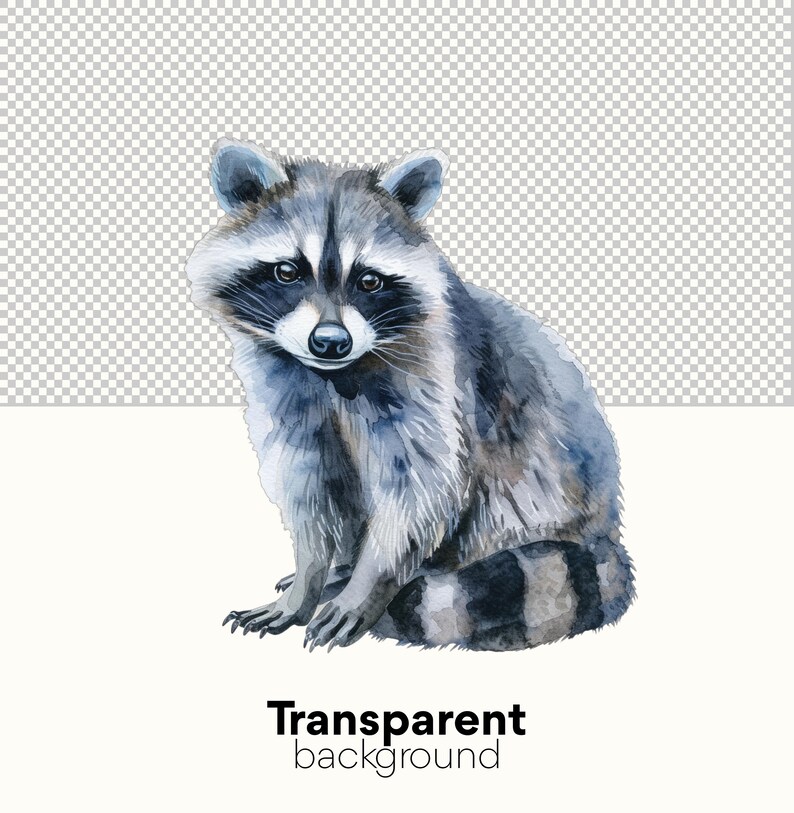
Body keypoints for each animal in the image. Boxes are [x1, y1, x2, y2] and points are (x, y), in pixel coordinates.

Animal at [186, 139, 635, 651]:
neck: (332, 374)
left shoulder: (434, 375)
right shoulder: (285, 391)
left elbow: (420, 489)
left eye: (369, 281)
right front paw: (308, 580)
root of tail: (606, 528)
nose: (330, 341)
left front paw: (366, 585)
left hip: (537, 493)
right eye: (286, 272)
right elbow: (309, 485)